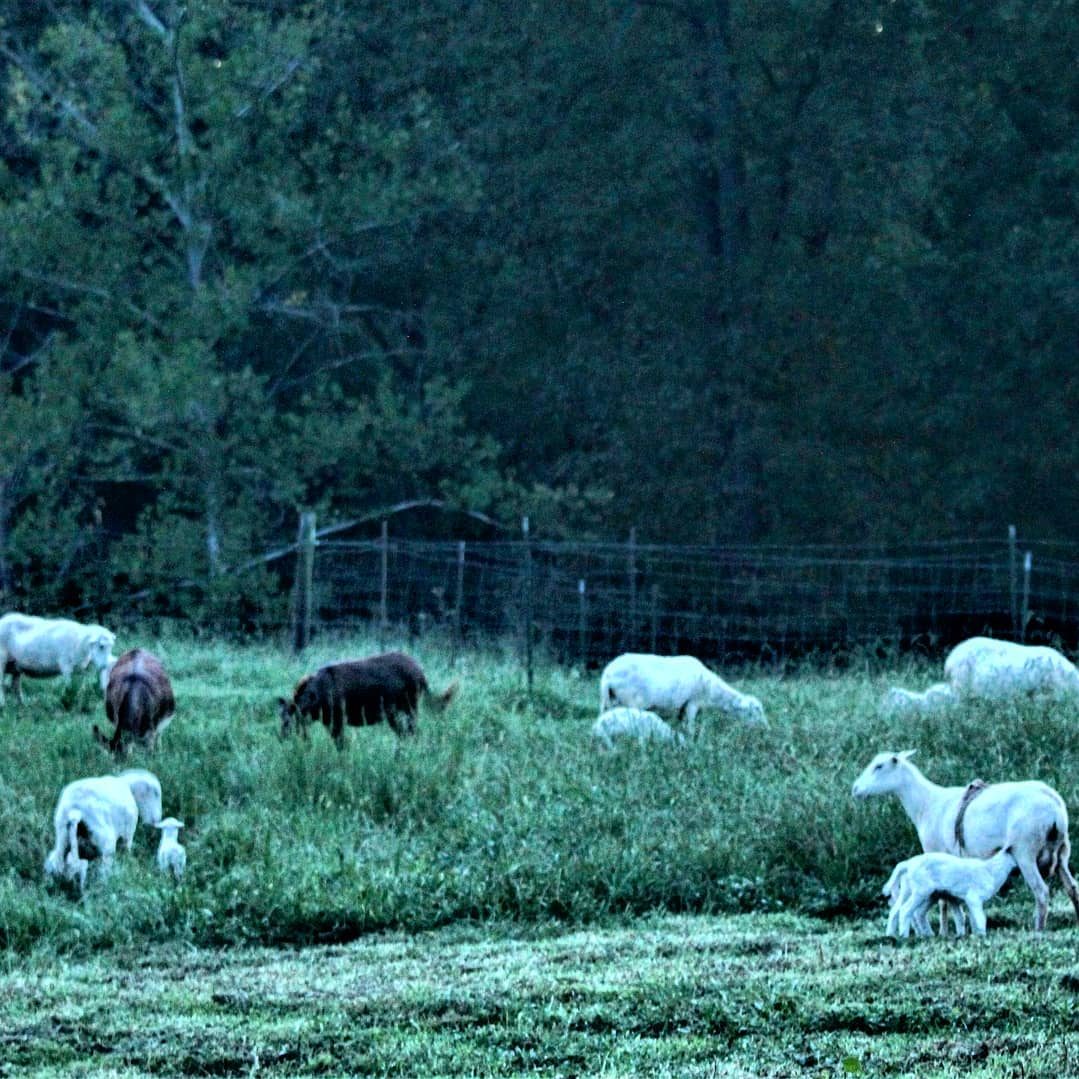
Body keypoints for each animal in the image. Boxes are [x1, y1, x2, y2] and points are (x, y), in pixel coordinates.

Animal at [278, 651, 458, 748]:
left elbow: (341, 744)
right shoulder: (329, 723)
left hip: (407, 709)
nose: (282, 737)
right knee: (407, 734)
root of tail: (421, 673)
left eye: (290, 719)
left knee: (411, 733)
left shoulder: (338, 720)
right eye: (281, 717)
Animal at [598, 653, 766, 735]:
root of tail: (608, 674)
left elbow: (683, 726)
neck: (711, 689)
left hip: (609, 702)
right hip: (631, 701)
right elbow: (690, 727)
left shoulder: (682, 707)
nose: (765, 729)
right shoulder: (692, 702)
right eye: (754, 712)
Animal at [889, 848, 1018, 937]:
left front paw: (970, 935)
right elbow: (980, 918)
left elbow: (965, 918)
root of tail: (908, 864)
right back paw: (905, 936)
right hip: (920, 892)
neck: (992, 872)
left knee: (905, 912)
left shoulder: (959, 900)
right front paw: (982, 936)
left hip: (921, 894)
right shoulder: (973, 898)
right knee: (905, 910)